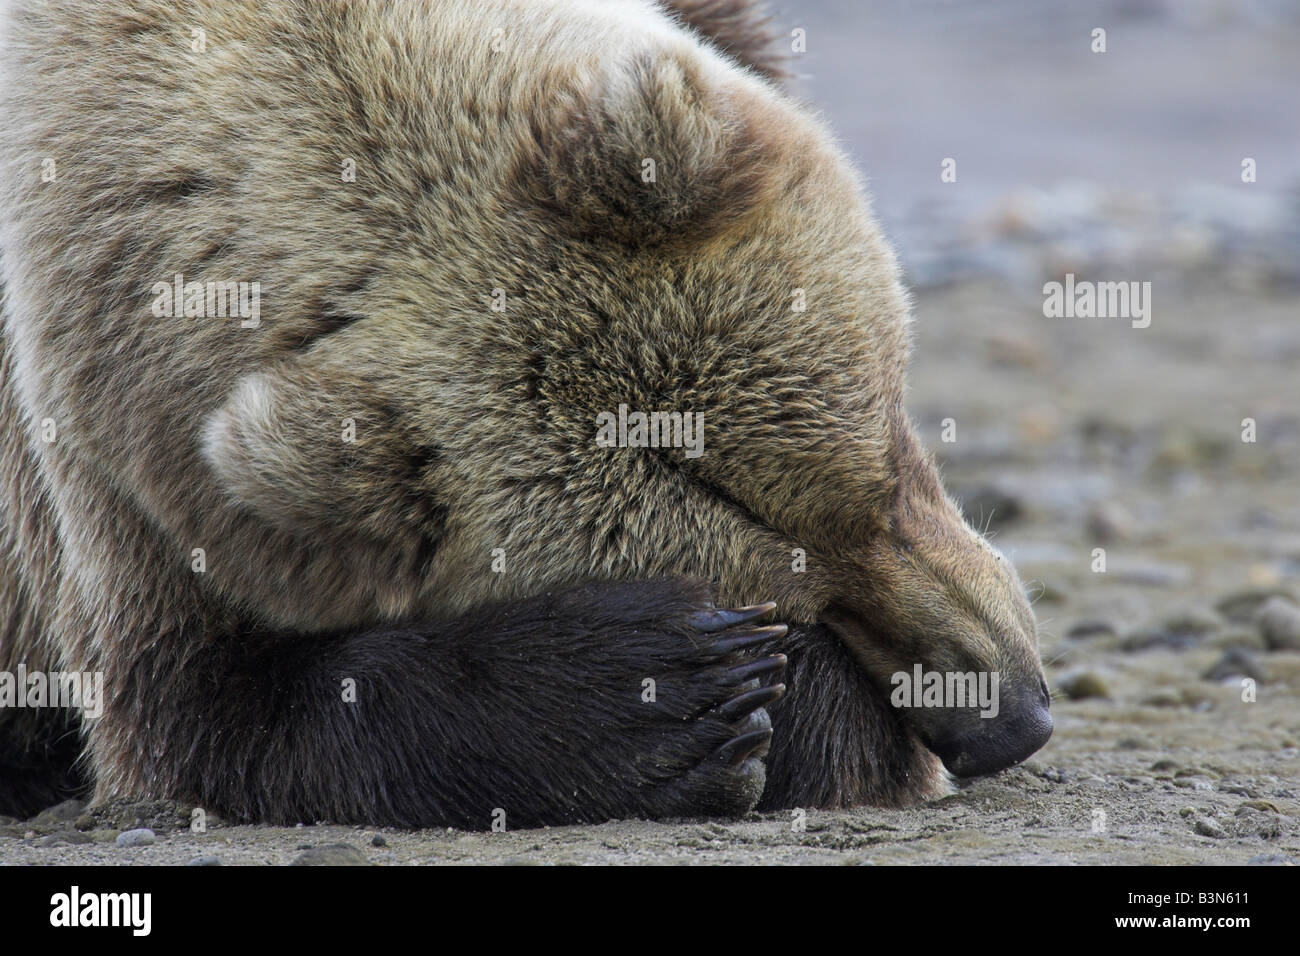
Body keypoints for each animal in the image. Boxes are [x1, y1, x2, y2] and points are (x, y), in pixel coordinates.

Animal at [0, 0, 1051, 828]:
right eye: (795, 592)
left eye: (886, 476)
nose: (1009, 717)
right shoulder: (109, 475)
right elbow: (203, 717)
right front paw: (674, 687)